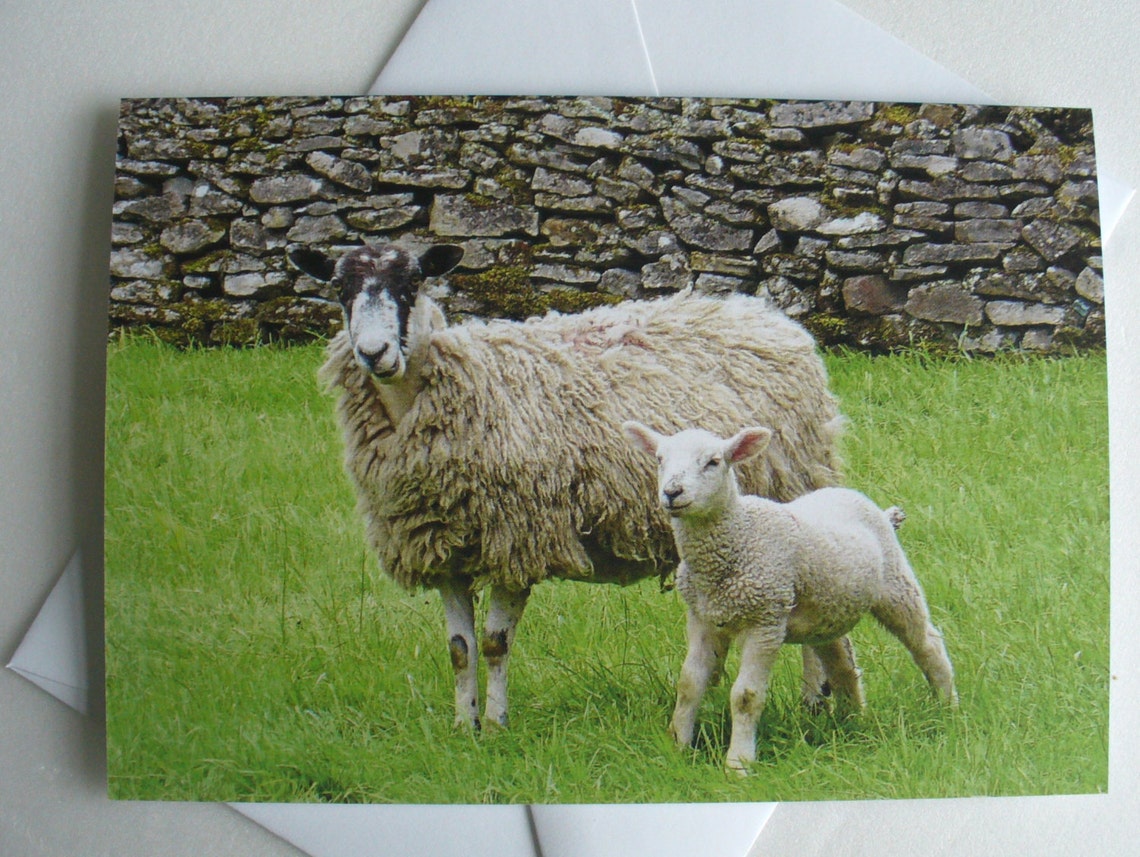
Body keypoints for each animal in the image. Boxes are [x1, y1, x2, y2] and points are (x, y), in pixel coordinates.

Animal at [289, 241, 844, 730]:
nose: (373, 353)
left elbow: (495, 643)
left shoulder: (517, 537)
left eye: (413, 282)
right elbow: (459, 650)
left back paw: (815, 701)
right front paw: (464, 726)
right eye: (339, 287)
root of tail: (766, 314)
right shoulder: (443, 546)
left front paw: (497, 726)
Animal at [622, 421, 957, 774]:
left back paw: (947, 705)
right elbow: (689, 685)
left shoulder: (766, 619)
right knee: (842, 665)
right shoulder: (702, 618)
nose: (672, 493)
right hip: (827, 612)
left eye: (713, 461)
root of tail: (856, 497)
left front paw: (738, 764)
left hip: (894, 585)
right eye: (659, 459)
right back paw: (852, 721)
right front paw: (677, 747)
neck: (737, 537)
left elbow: (746, 696)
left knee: (926, 642)